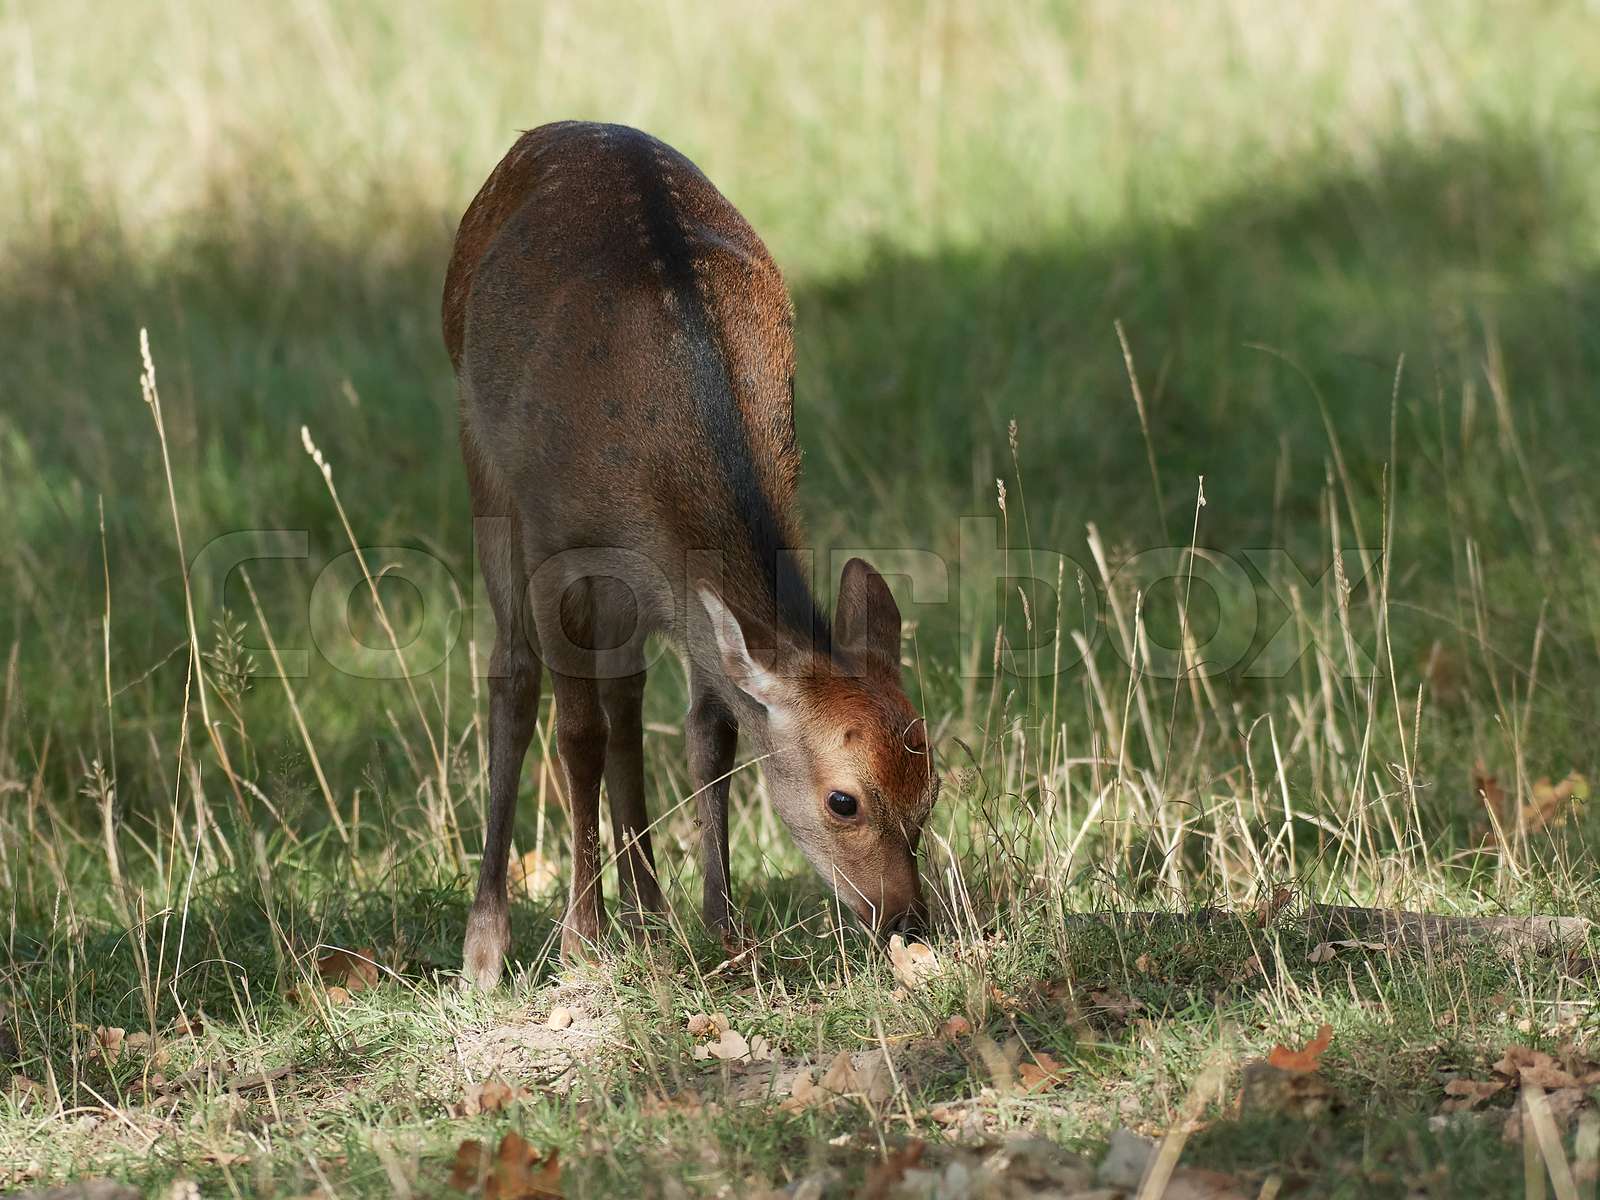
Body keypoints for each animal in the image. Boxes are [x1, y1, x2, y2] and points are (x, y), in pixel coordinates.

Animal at [442, 121, 938, 987]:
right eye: (843, 800)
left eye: (932, 786)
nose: (909, 919)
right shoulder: (559, 545)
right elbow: (576, 735)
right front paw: (580, 943)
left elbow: (712, 732)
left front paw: (723, 929)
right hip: (487, 464)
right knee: (515, 678)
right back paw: (490, 944)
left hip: (623, 597)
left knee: (628, 698)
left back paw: (649, 915)